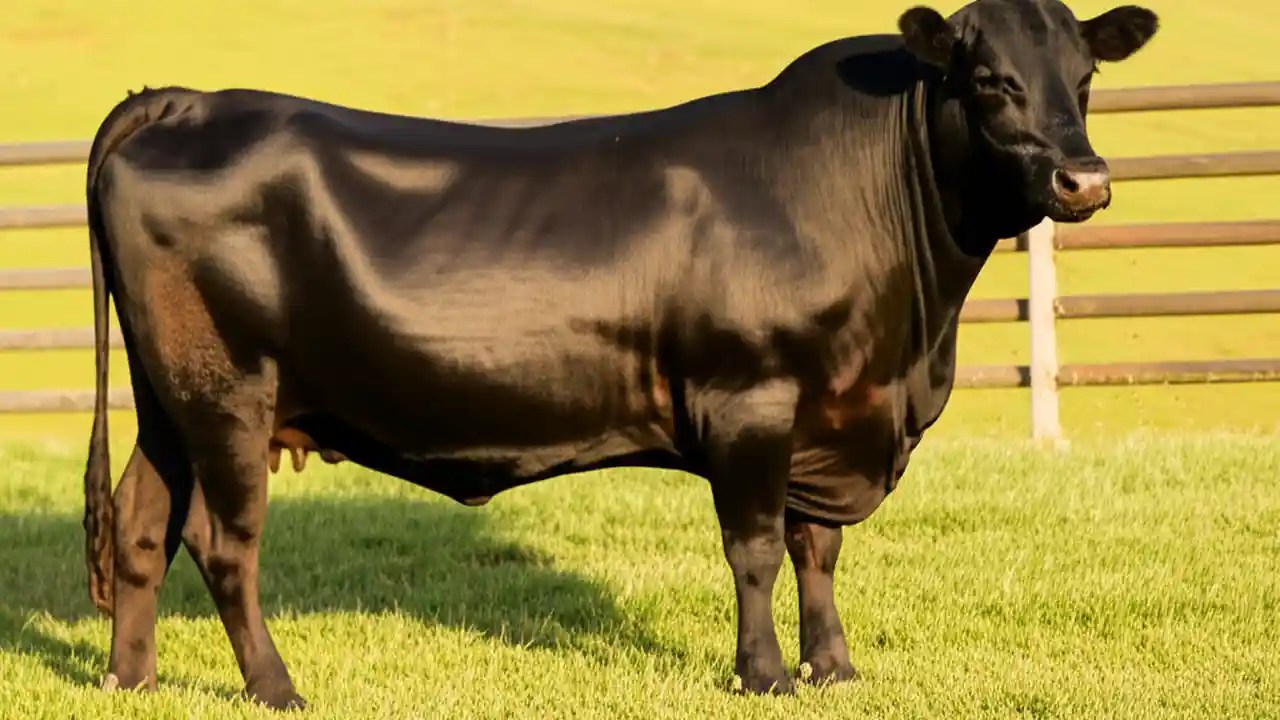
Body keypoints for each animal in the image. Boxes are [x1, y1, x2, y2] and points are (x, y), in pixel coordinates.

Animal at [80, 0, 1157, 708]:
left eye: (1084, 78)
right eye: (988, 80)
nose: (1083, 178)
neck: (908, 341)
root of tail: (186, 101)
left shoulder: (833, 410)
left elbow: (818, 547)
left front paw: (835, 667)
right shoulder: (751, 397)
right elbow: (755, 547)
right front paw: (765, 675)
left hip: (167, 394)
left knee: (140, 523)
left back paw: (131, 680)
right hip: (226, 390)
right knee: (223, 541)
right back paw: (276, 687)